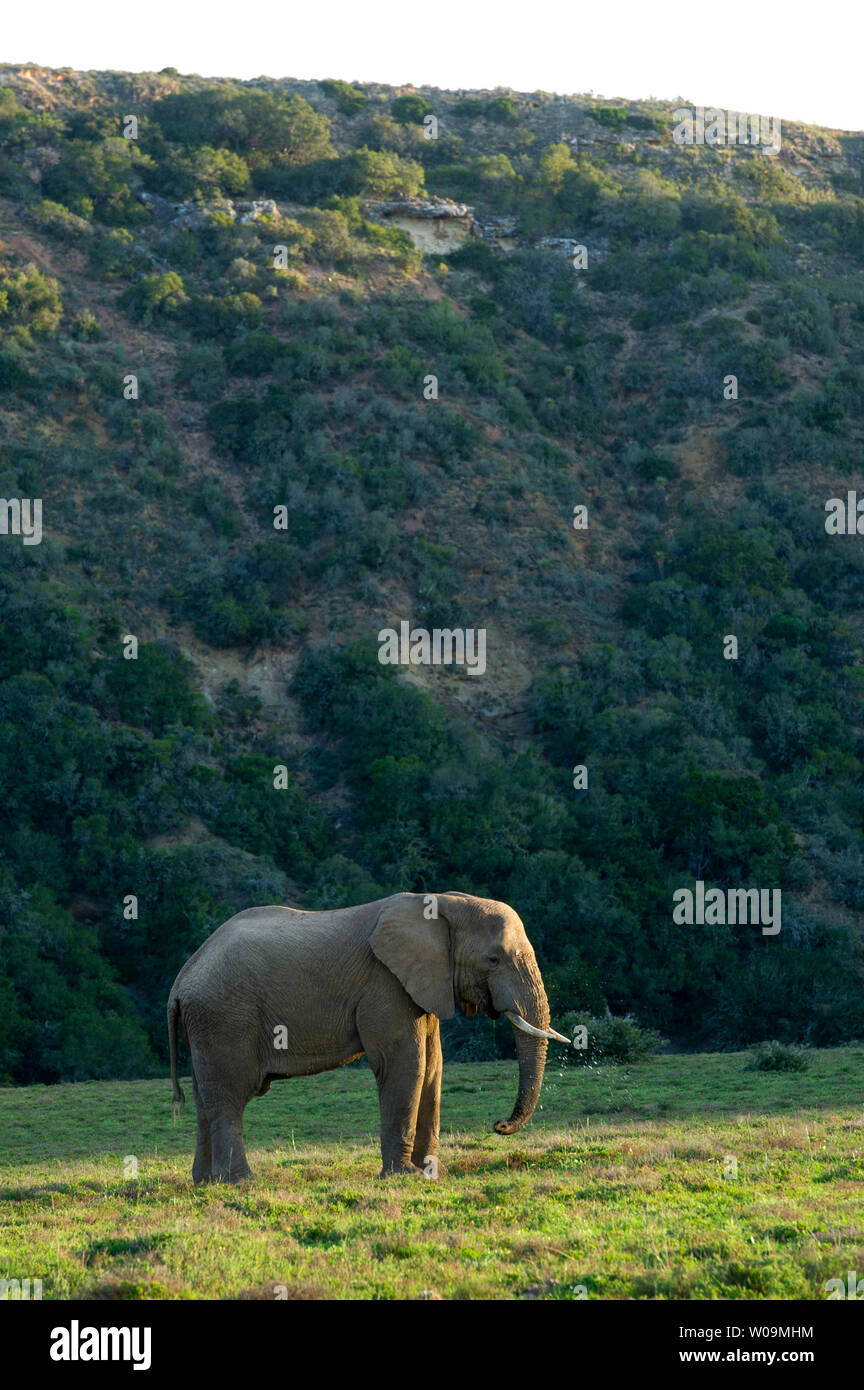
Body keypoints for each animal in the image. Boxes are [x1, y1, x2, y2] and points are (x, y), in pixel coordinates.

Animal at [167, 891, 571, 1183]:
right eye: (493, 959)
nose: (499, 1125)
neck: (442, 902)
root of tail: (181, 980)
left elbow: (432, 1067)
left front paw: (430, 1174)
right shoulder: (385, 984)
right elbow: (405, 1064)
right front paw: (404, 1177)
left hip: (205, 1024)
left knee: (205, 1099)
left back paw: (205, 1182)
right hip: (224, 1018)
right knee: (229, 1097)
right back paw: (240, 1182)